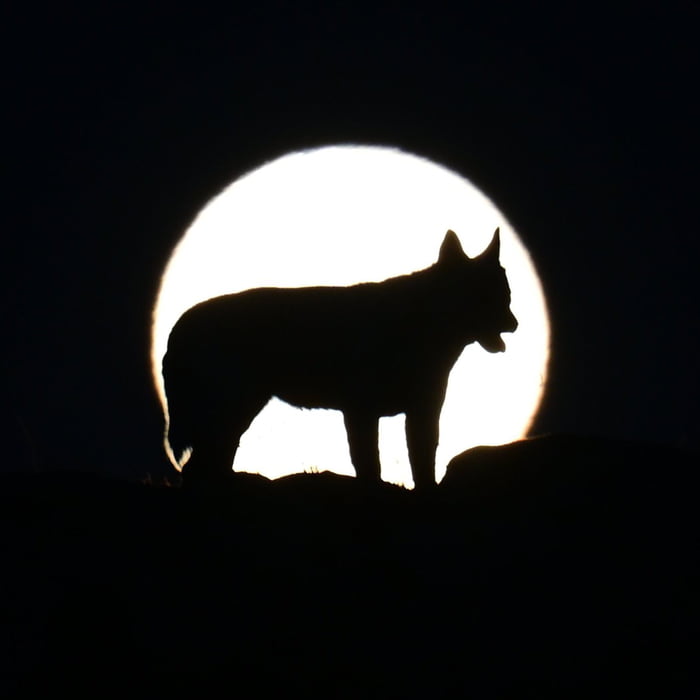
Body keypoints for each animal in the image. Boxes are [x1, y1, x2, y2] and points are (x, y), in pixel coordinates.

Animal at [162, 228, 517, 490]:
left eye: (506, 296)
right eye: (486, 297)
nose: (515, 324)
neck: (422, 320)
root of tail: (180, 326)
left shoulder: (421, 414)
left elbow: (421, 466)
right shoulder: (361, 412)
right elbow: (370, 467)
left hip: (239, 412)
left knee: (210, 464)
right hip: (234, 409)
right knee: (198, 468)